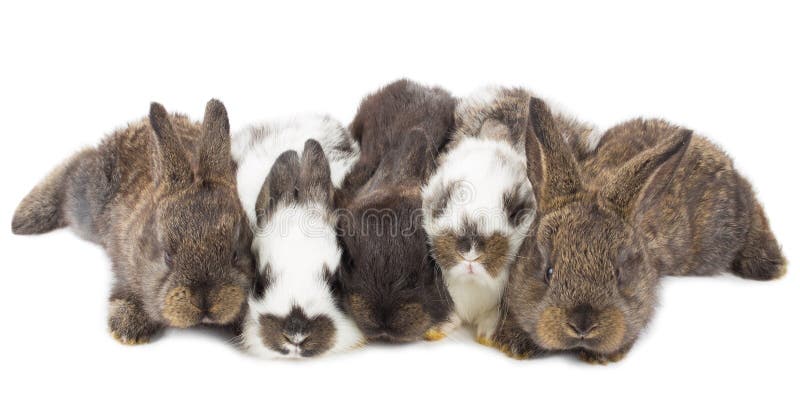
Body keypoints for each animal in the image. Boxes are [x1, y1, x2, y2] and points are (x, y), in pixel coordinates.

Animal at [11, 100, 257, 344]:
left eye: (235, 255)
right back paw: (23, 218)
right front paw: (128, 327)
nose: (204, 300)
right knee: (74, 166)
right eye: (167, 256)